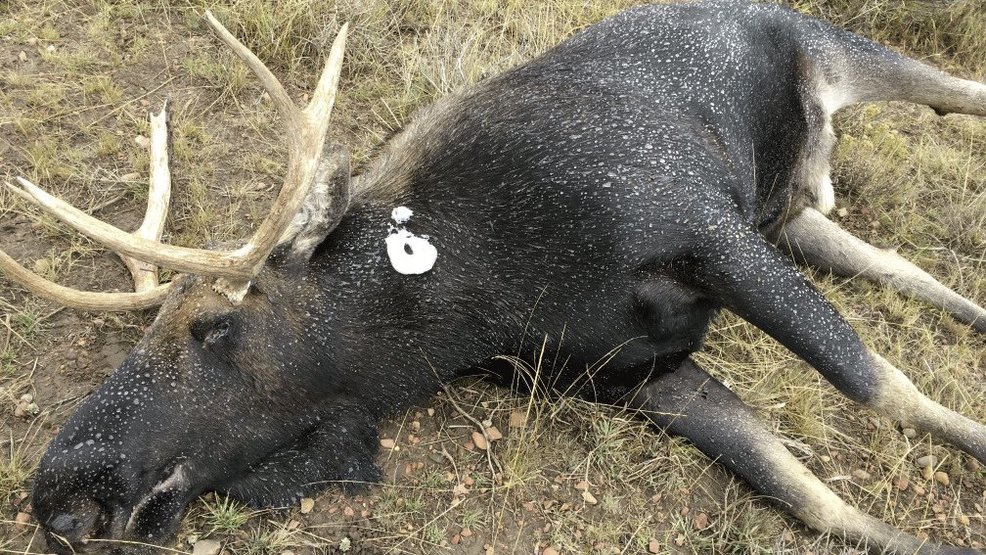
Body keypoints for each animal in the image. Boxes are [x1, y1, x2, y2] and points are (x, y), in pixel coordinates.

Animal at [1, 1, 984, 553]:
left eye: (212, 325)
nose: (58, 493)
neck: (473, 300)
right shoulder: (638, 375)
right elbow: (823, 505)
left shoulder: (702, 228)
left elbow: (875, 384)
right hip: (793, 214)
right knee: (890, 260)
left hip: (835, 57)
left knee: (959, 93)